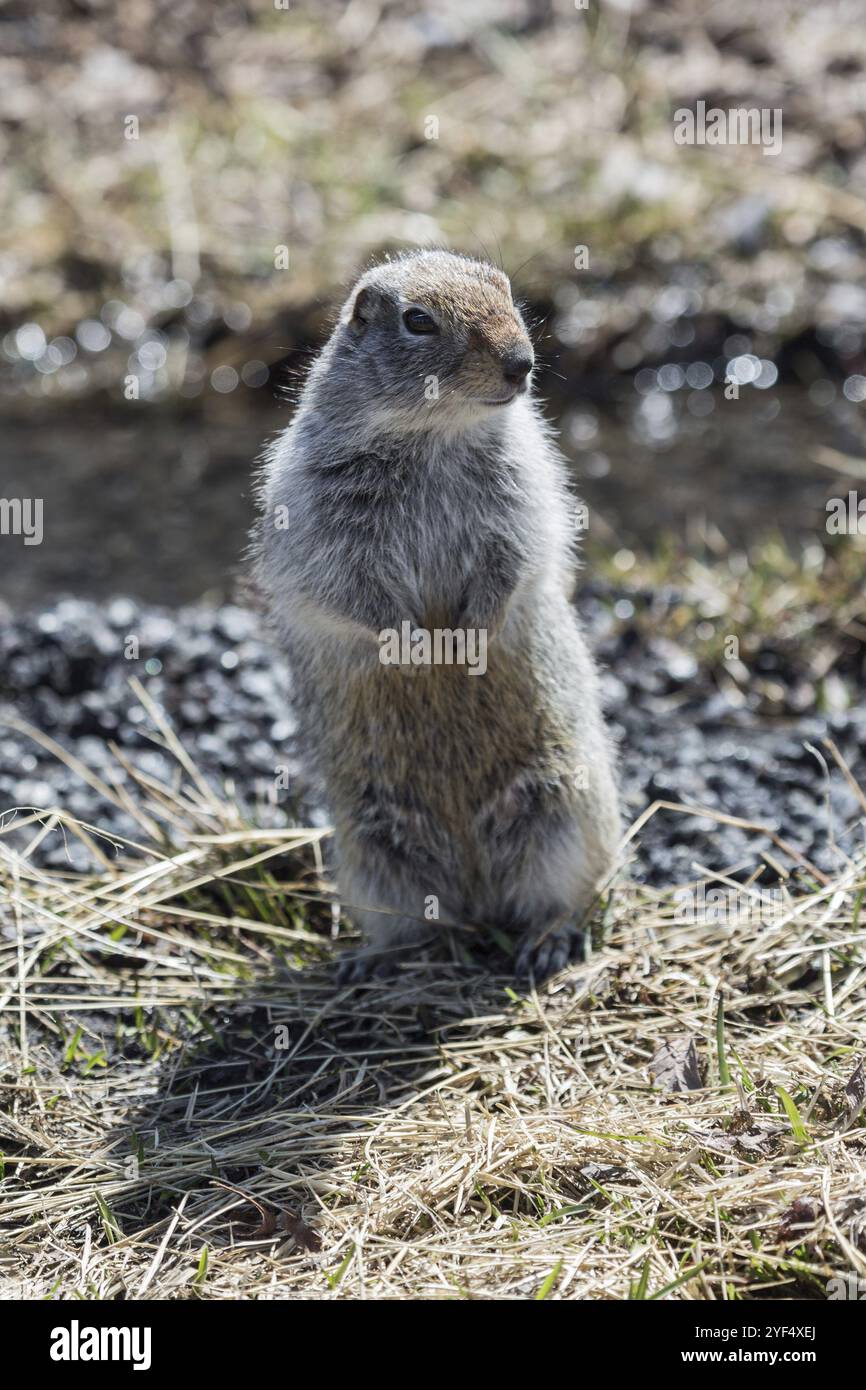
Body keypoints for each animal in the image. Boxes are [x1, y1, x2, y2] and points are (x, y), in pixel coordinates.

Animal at [252, 250, 621, 982]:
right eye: (417, 321)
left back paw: (548, 941)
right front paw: (419, 648)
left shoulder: (518, 497)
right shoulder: (325, 524)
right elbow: (352, 593)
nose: (521, 363)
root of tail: (478, 891)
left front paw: (466, 642)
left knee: (568, 894)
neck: (434, 432)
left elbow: (514, 564)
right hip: (374, 849)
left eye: (505, 290)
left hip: (564, 810)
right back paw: (377, 959)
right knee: (418, 922)